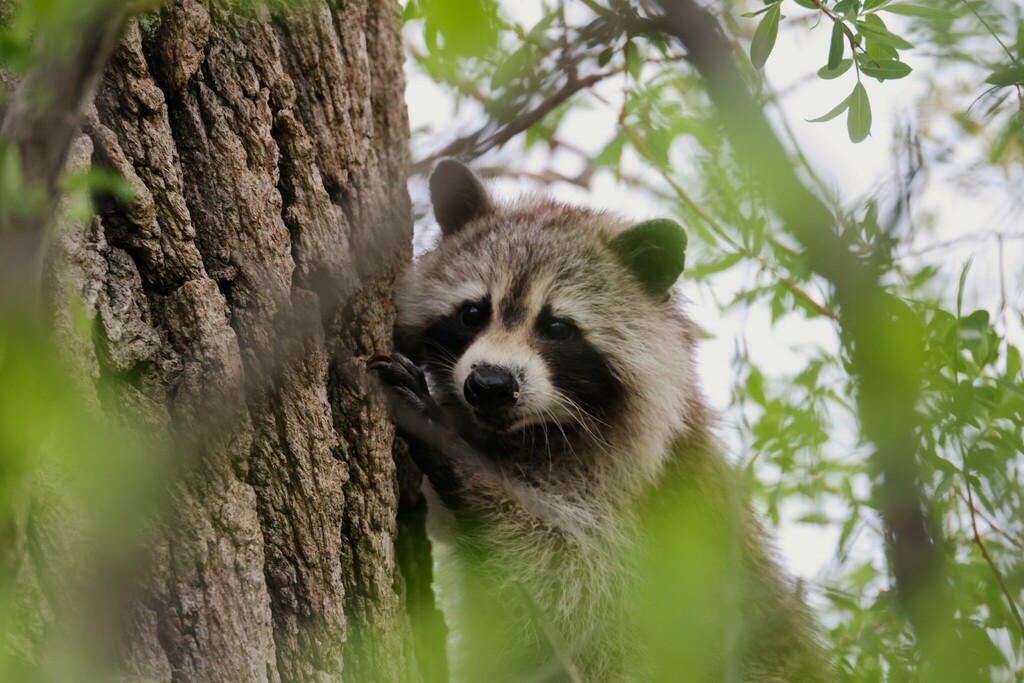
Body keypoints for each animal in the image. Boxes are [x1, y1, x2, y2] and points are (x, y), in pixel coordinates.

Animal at [370, 160, 833, 682]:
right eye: (472, 313)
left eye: (557, 328)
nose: (489, 385)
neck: (523, 439)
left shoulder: (638, 504)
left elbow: (571, 576)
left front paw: (452, 451)